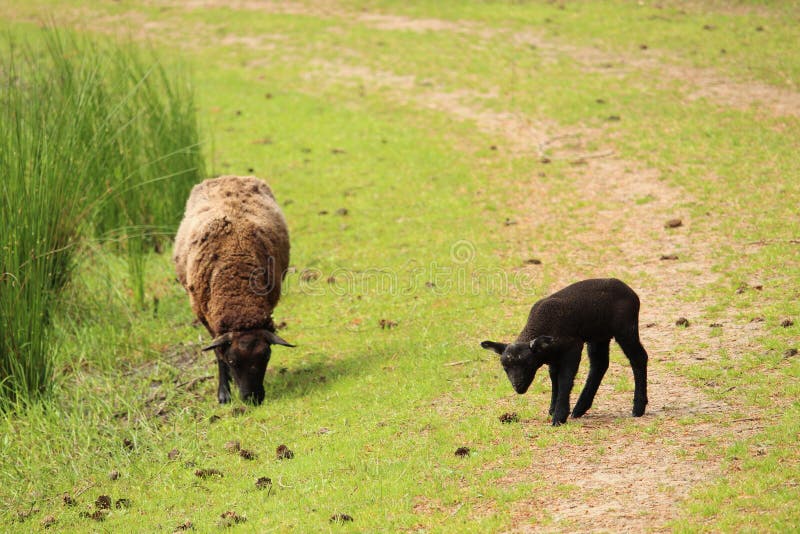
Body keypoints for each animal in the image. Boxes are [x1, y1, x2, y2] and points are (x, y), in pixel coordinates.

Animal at [173, 175, 293, 405]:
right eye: (232, 361)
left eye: (267, 356)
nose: (252, 398)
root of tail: (226, 177)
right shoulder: (206, 317)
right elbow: (217, 353)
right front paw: (224, 393)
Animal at [480, 278, 648, 425]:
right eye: (505, 367)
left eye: (528, 364)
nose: (518, 386)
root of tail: (630, 292)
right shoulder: (554, 356)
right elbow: (554, 379)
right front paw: (552, 409)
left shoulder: (573, 348)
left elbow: (565, 379)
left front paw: (559, 416)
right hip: (598, 335)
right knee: (599, 364)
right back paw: (580, 408)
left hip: (625, 327)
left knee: (639, 358)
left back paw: (638, 407)